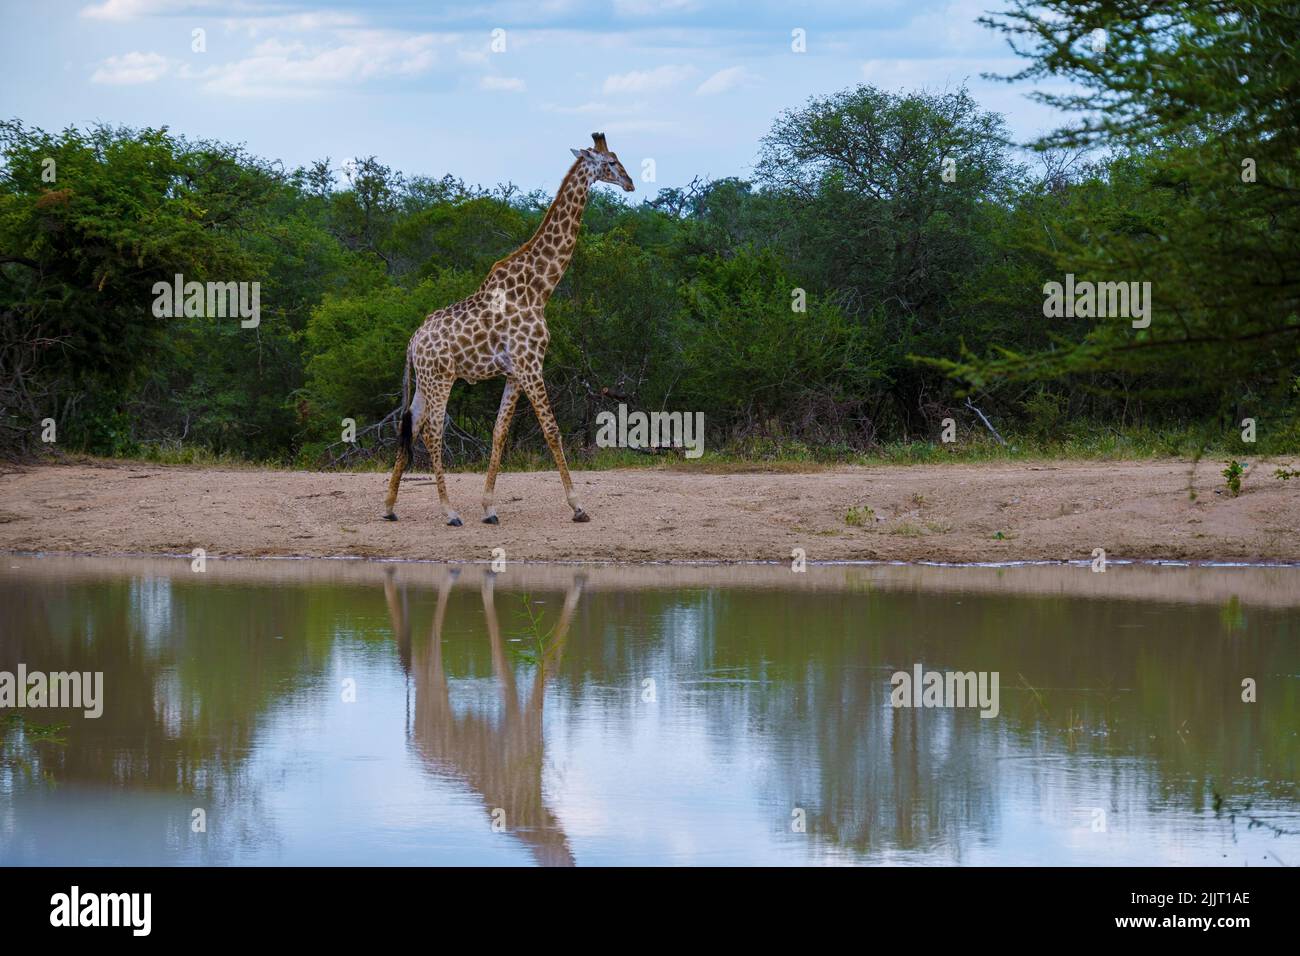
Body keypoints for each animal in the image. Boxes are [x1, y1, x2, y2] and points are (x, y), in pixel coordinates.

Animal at [383, 132, 635, 526]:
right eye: (609, 162)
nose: (630, 183)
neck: (540, 288)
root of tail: (412, 341)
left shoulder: (516, 372)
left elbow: (500, 431)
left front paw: (489, 507)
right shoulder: (531, 365)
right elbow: (552, 430)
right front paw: (578, 506)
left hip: (425, 380)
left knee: (410, 425)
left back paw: (390, 506)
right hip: (441, 378)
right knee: (432, 432)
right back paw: (449, 511)